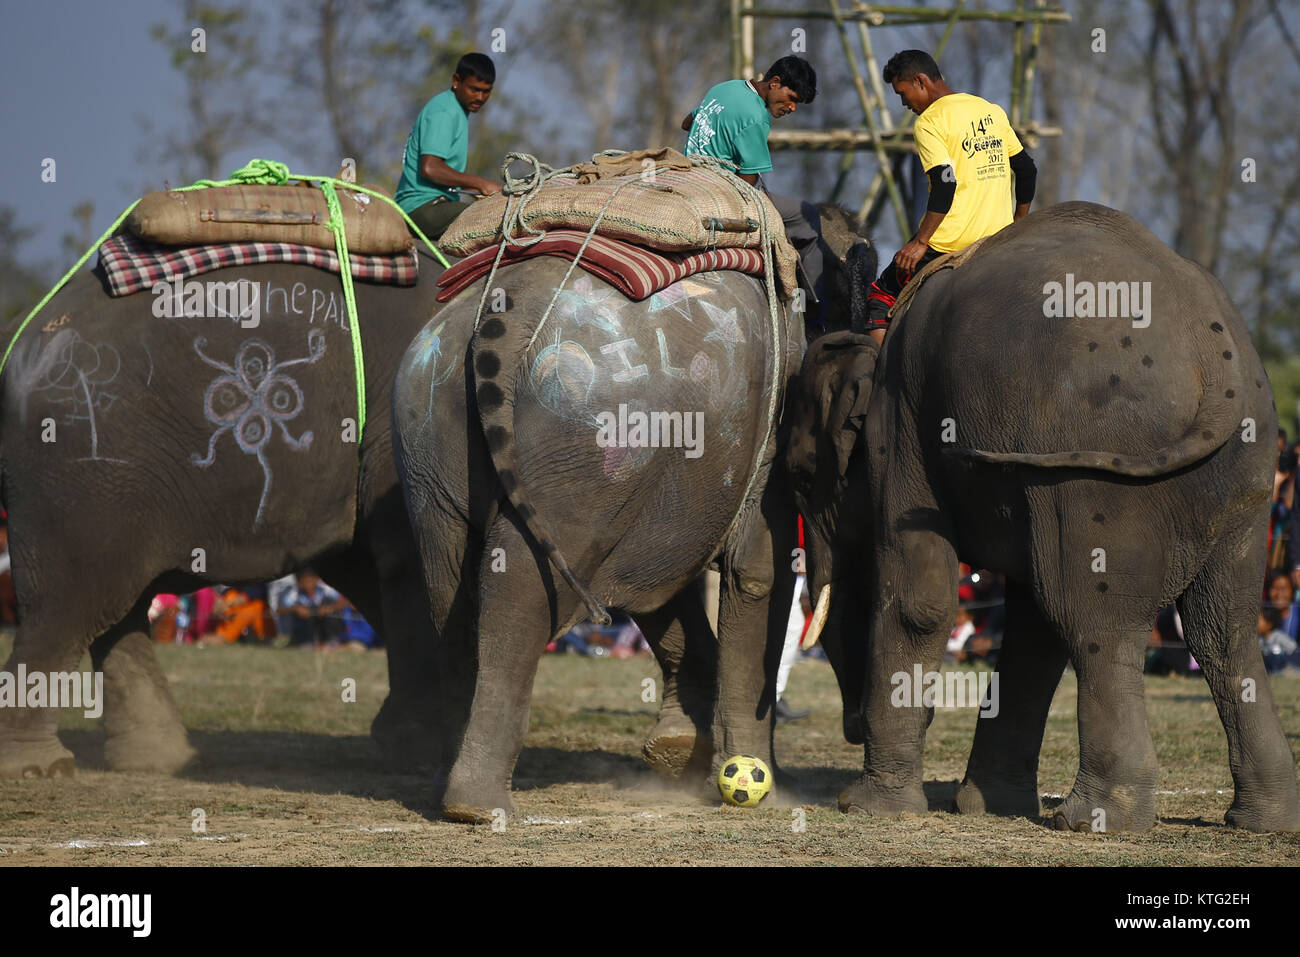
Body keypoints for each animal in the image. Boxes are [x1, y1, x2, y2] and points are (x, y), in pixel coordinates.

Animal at [0, 249, 448, 778]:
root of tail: (20, 335)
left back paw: (161, 760)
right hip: (77, 475)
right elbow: (406, 564)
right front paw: (429, 753)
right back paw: (39, 767)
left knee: (114, 609)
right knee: (71, 601)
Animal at [785, 201, 1300, 832]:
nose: (852, 727)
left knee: (1091, 618)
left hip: (1098, 471)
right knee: (1222, 627)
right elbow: (1031, 628)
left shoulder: (903, 424)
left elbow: (921, 600)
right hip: (1244, 476)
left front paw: (869, 807)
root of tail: (1214, 352)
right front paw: (989, 808)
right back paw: (1262, 819)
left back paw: (1093, 820)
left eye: (800, 476)